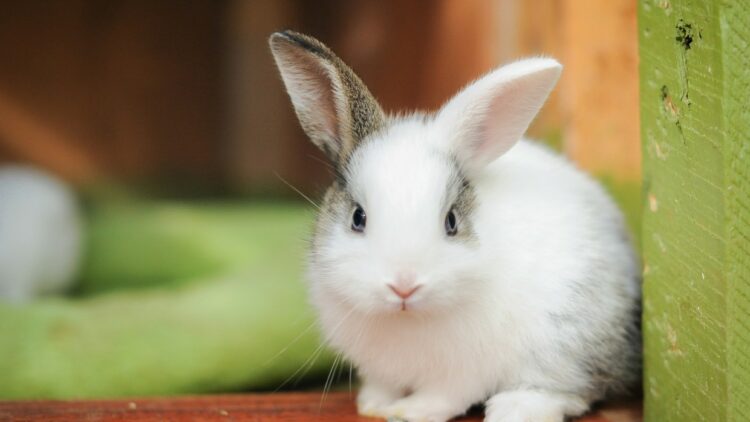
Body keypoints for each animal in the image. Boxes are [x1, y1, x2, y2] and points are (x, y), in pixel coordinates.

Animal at [270, 31, 640, 422]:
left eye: (451, 221)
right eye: (358, 217)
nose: (404, 286)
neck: (407, 319)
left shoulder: (463, 373)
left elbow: (444, 396)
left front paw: (407, 412)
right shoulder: (379, 368)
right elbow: (383, 385)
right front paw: (373, 405)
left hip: (565, 343)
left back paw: (513, 409)